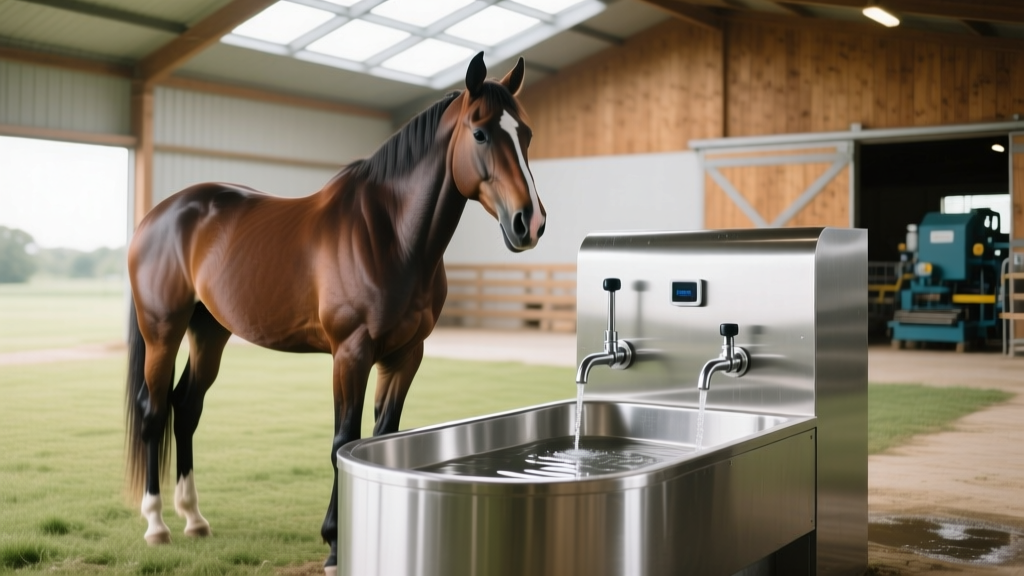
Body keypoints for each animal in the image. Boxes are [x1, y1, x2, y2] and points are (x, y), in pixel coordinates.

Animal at [124, 52, 545, 573]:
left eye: (526, 134)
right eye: (481, 132)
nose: (530, 222)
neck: (391, 236)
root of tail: (158, 215)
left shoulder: (406, 356)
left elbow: (383, 438)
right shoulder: (351, 354)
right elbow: (343, 442)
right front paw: (333, 544)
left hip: (210, 333)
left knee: (186, 408)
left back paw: (194, 519)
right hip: (162, 331)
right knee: (154, 411)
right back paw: (156, 524)